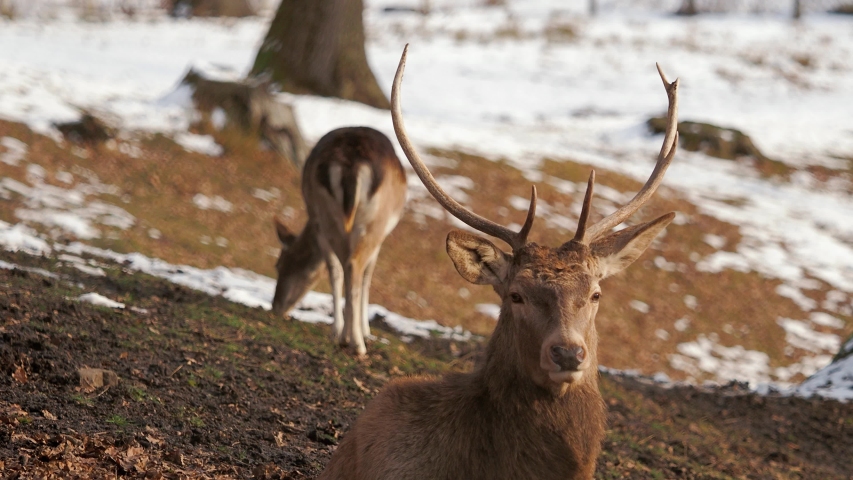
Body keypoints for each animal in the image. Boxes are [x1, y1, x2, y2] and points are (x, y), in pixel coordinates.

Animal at [272, 126, 407, 356]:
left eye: (279, 265)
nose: (275, 307)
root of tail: (350, 166)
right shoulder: (380, 237)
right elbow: (367, 275)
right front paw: (365, 330)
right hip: (372, 223)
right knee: (352, 266)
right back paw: (354, 341)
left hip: (328, 217)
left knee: (340, 268)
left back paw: (343, 335)